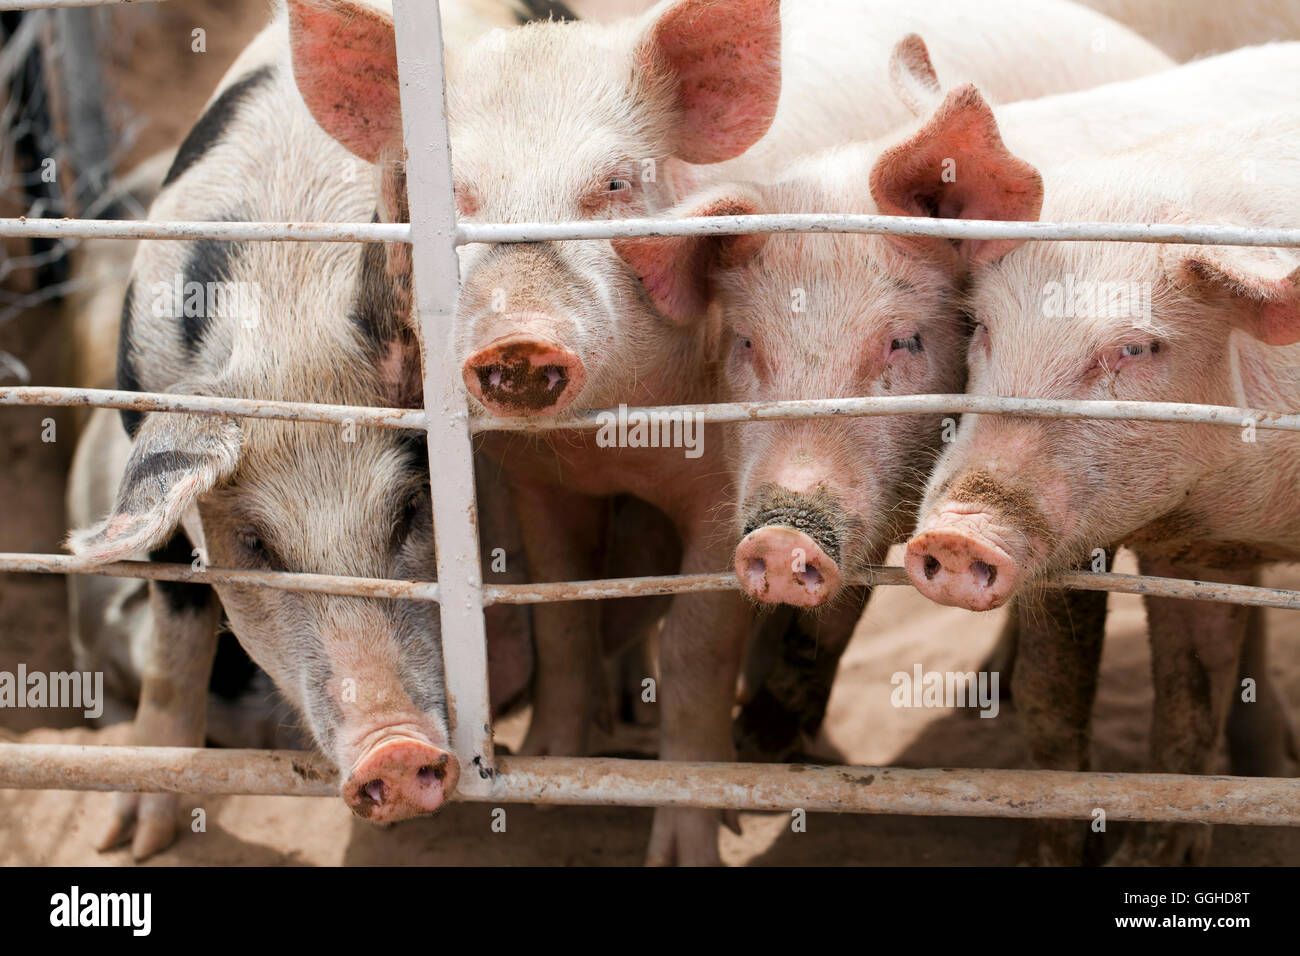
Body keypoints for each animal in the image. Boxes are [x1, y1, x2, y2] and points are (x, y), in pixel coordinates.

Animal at [64, 0, 538, 860]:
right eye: (257, 545)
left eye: (410, 511)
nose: (395, 751)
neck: (292, 336)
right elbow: (175, 637)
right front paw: (130, 840)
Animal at [286, 0, 1173, 864]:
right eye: (452, 199)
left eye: (617, 183)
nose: (519, 341)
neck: (617, 437)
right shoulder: (536, 479)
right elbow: (562, 620)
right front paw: (550, 780)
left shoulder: (725, 493)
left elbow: (693, 649)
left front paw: (691, 841)